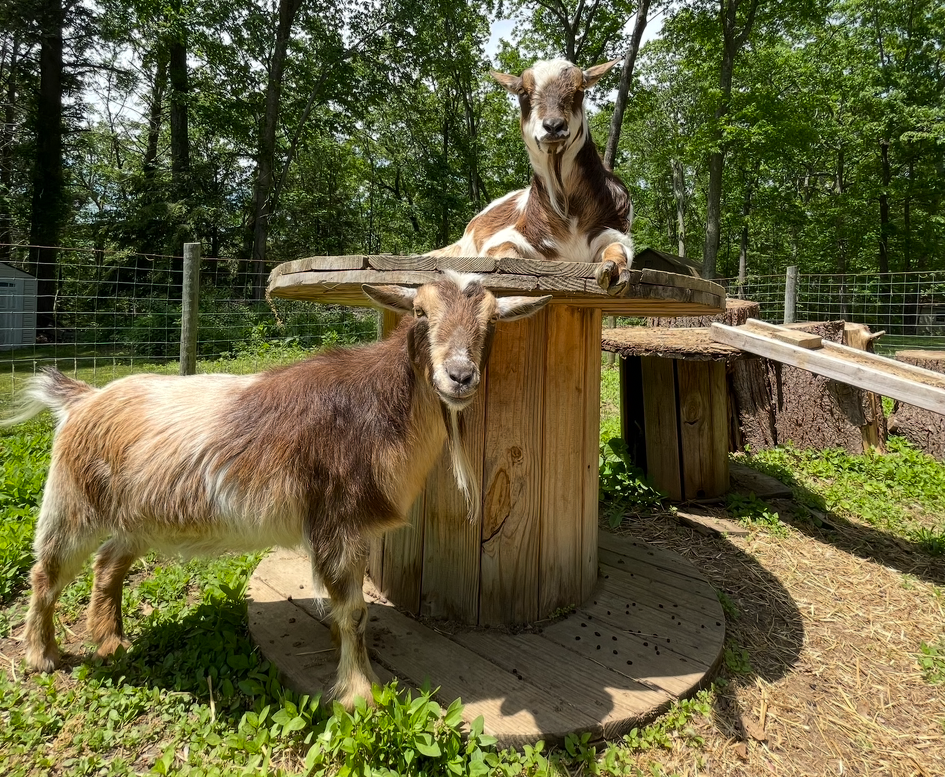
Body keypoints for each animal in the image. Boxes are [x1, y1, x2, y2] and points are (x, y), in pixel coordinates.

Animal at [2, 273, 551, 709]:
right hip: (71, 501)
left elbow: (348, 609)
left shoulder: (353, 530)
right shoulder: (336, 519)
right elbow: (354, 610)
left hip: (138, 517)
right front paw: (360, 693)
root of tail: (83, 398)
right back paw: (41, 655)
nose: (460, 376)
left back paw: (111, 640)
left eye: (492, 322)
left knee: (108, 564)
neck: (378, 408)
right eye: (419, 311)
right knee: (46, 572)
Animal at [431, 58, 634, 295]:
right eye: (523, 92)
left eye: (579, 89)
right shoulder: (508, 238)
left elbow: (618, 248)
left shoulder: (614, 232)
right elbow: (506, 254)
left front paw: (612, 271)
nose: (553, 125)